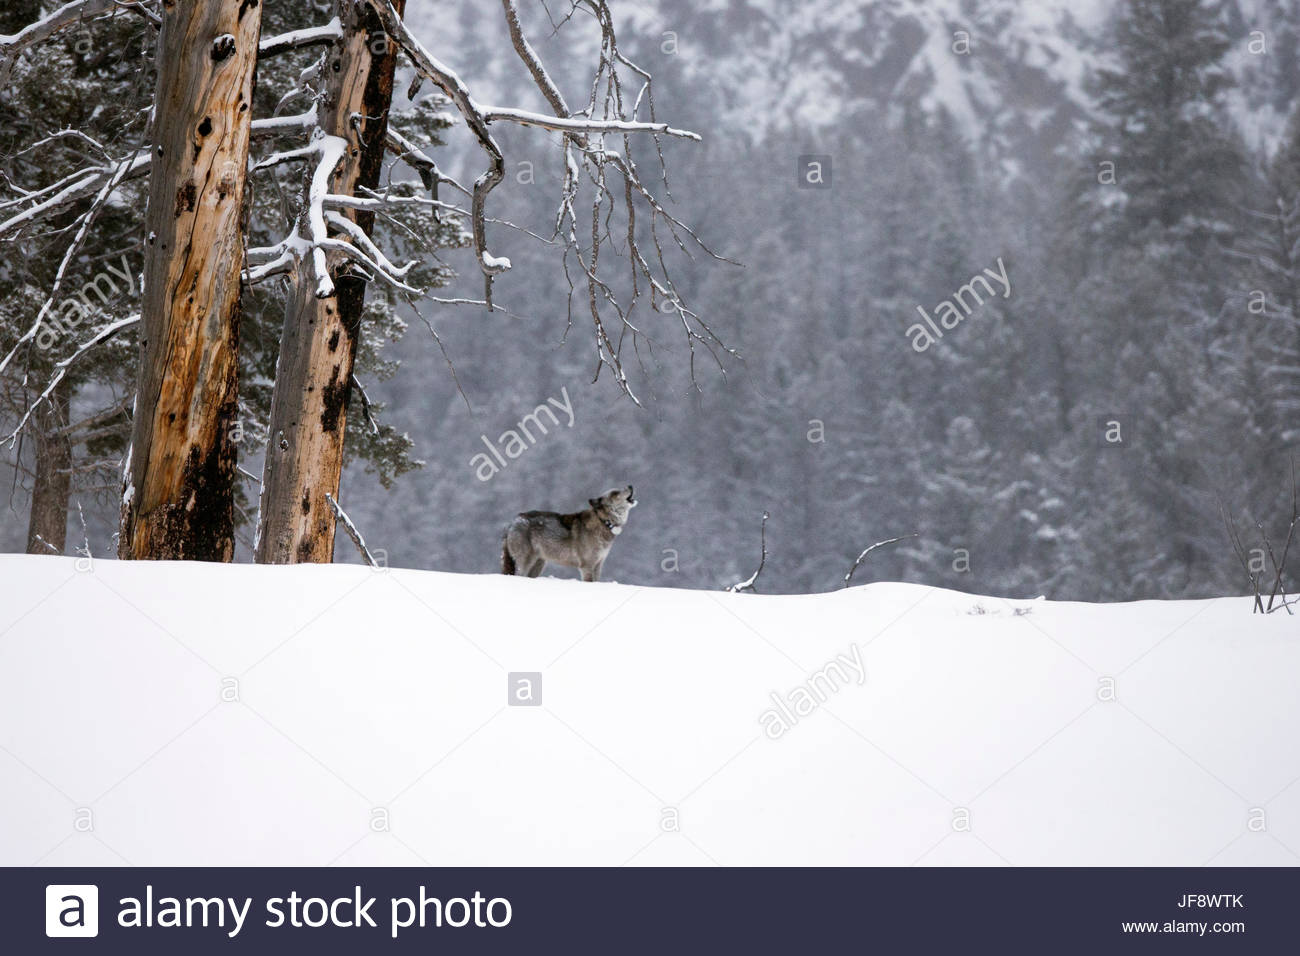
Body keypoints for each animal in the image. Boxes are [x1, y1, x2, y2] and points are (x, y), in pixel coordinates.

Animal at [501, 486, 636, 582]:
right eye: (615, 493)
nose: (630, 486)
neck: (603, 521)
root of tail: (513, 521)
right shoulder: (587, 566)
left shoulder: (598, 565)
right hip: (525, 562)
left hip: (538, 564)